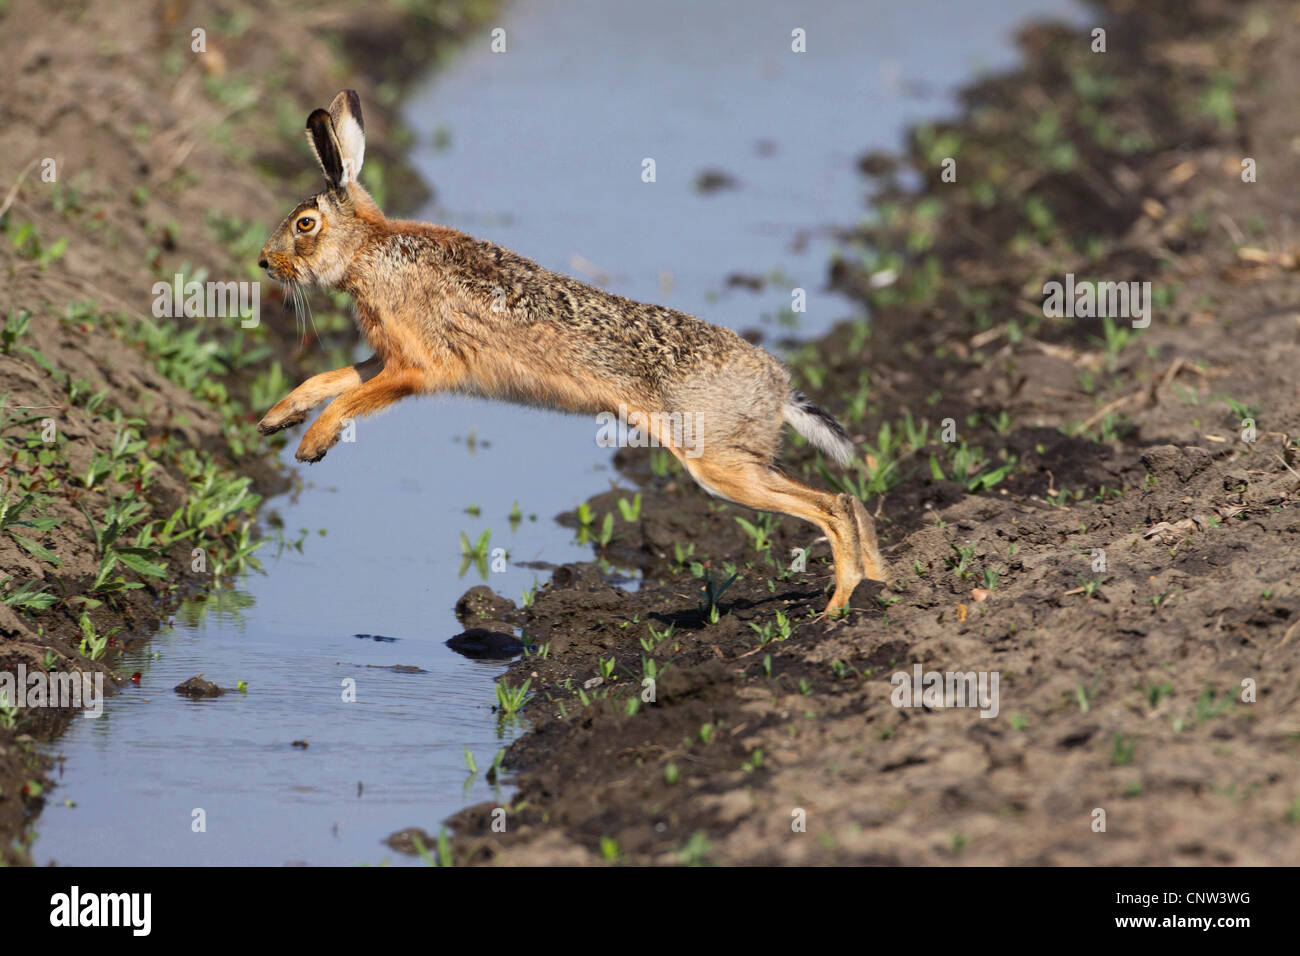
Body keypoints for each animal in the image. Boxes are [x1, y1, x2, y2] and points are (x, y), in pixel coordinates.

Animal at [257, 90, 888, 615]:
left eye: (305, 224)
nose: (265, 263)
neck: (369, 250)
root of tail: (778, 390)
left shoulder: (419, 367)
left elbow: (352, 400)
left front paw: (311, 446)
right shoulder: (386, 359)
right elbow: (331, 379)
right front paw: (275, 420)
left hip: (717, 462)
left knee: (830, 505)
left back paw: (837, 608)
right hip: (738, 458)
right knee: (847, 499)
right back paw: (882, 584)